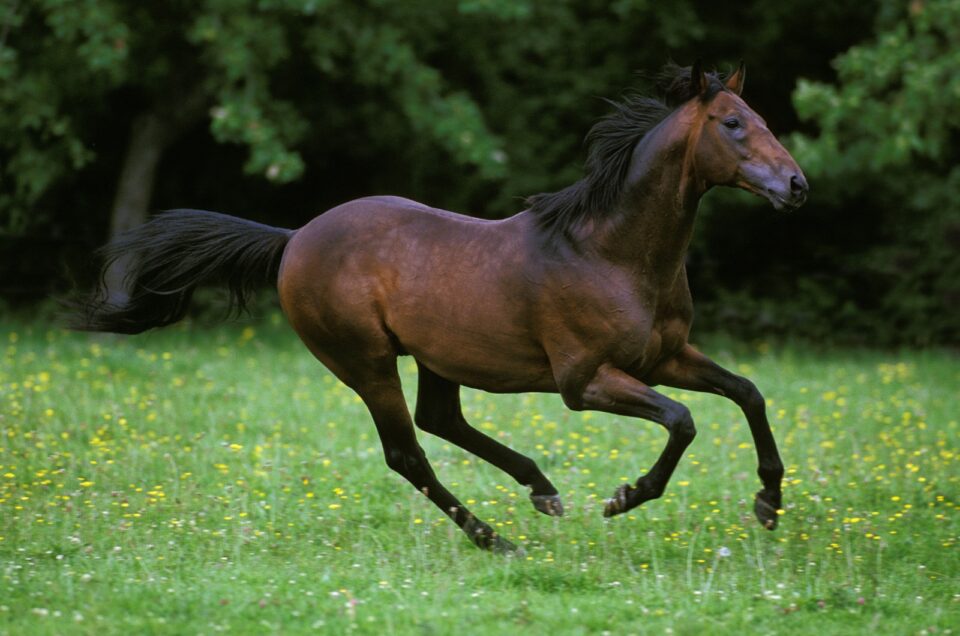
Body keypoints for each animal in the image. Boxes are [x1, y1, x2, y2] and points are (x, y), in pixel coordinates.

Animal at [73, 62, 808, 553]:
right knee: (407, 451)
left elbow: (748, 392)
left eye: (766, 121)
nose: (798, 186)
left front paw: (768, 503)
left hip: (435, 355)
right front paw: (624, 497)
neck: (611, 252)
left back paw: (540, 489)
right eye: (733, 124)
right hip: (366, 362)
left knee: (440, 420)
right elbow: (682, 421)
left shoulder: (666, 356)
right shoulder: (584, 382)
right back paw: (494, 536)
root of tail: (294, 239)